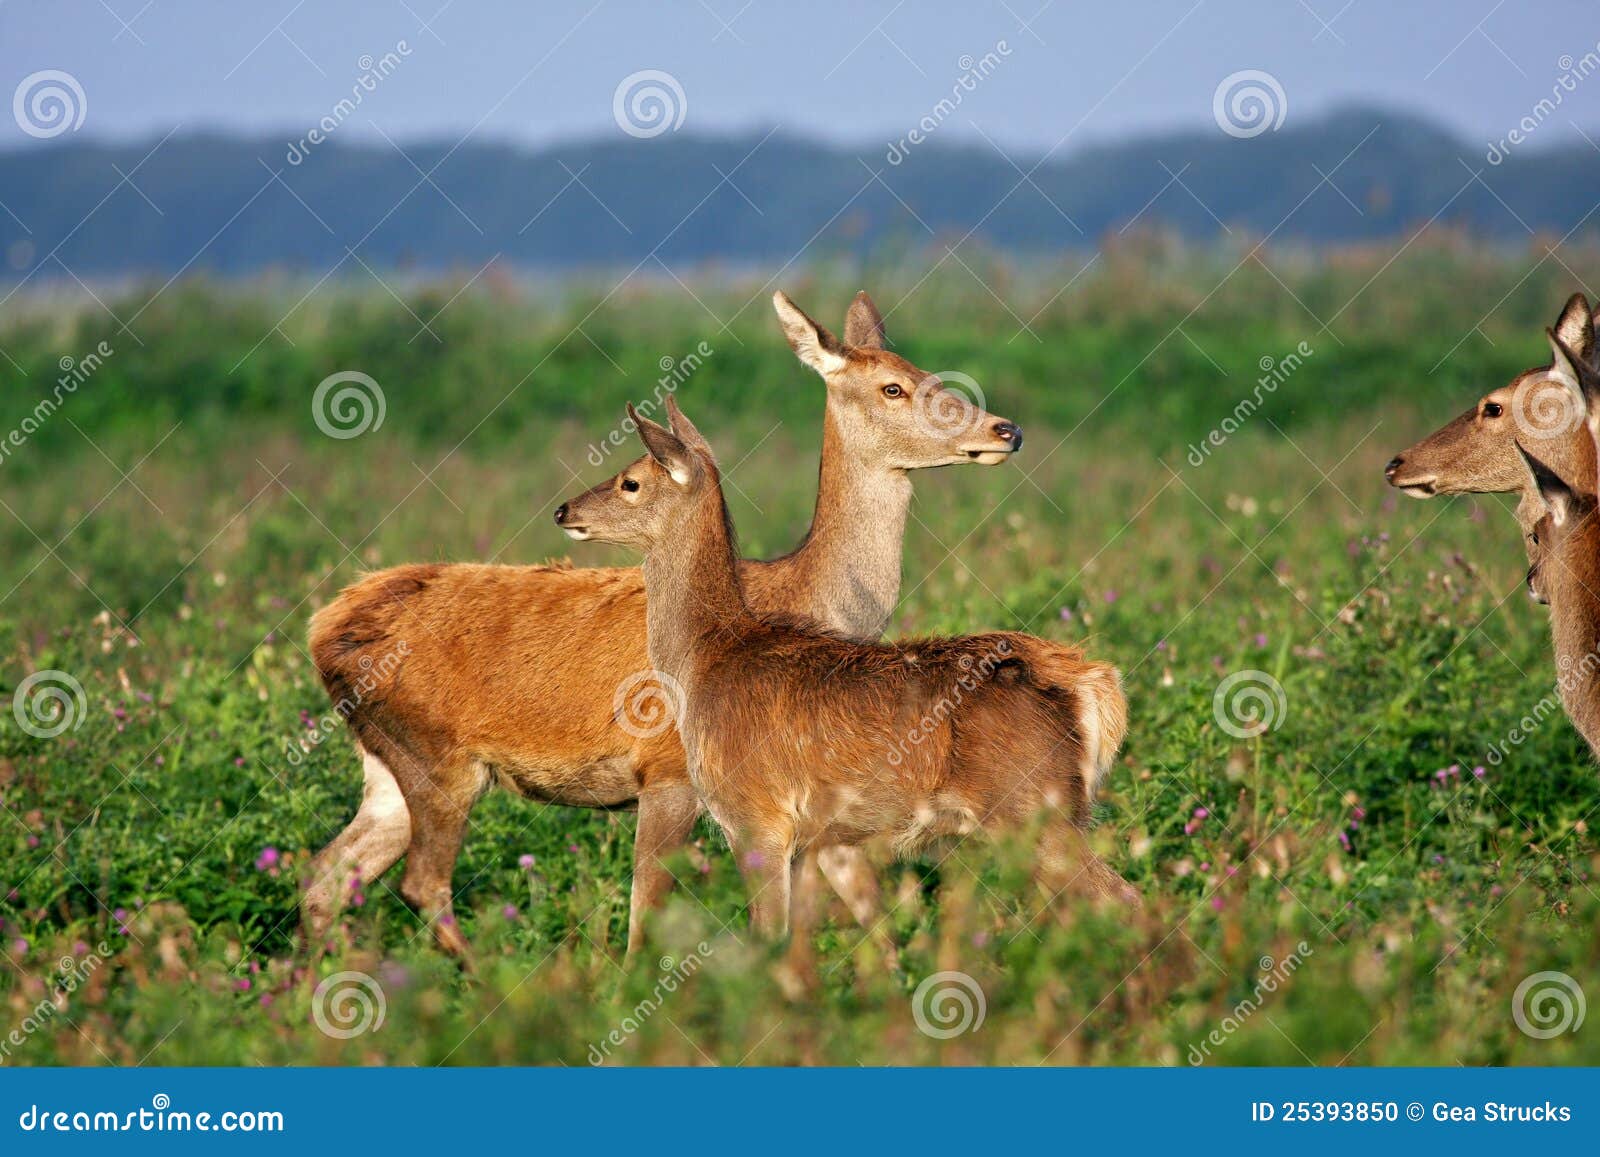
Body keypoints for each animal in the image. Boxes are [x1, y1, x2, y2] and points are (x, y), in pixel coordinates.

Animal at [304, 290, 1026, 960]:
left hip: (386, 766)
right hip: (436, 755)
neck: (801, 599)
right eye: (893, 386)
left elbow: (871, 908)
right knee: (419, 881)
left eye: (926, 370)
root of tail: (322, 629)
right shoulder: (671, 771)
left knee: (326, 875)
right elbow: (647, 913)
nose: (1006, 429)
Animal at [554, 397, 1139, 939]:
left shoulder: (756, 815)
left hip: (1034, 808)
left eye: (630, 481)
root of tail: (1095, 685)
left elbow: (769, 938)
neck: (706, 659)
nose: (563, 511)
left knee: (1125, 901)